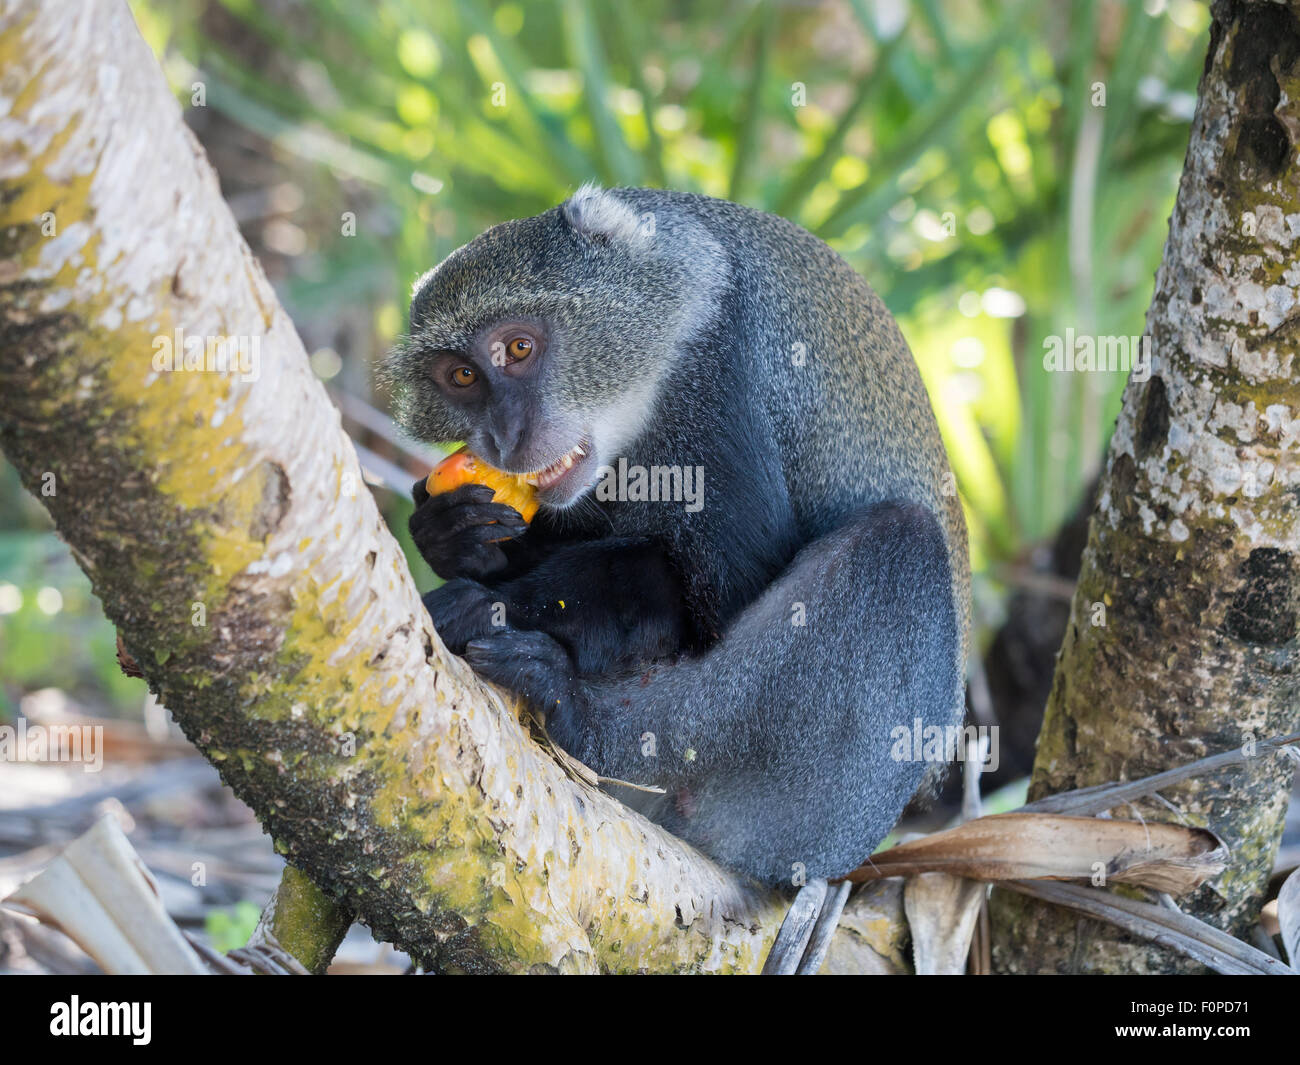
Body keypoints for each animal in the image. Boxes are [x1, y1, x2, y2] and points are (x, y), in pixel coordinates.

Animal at [386, 185, 970, 888]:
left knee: (900, 541)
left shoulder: (715, 387)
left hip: (811, 813)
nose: (504, 437)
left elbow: (707, 605)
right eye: (462, 377)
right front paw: (453, 537)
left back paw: (579, 716)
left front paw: (487, 605)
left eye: (519, 349)